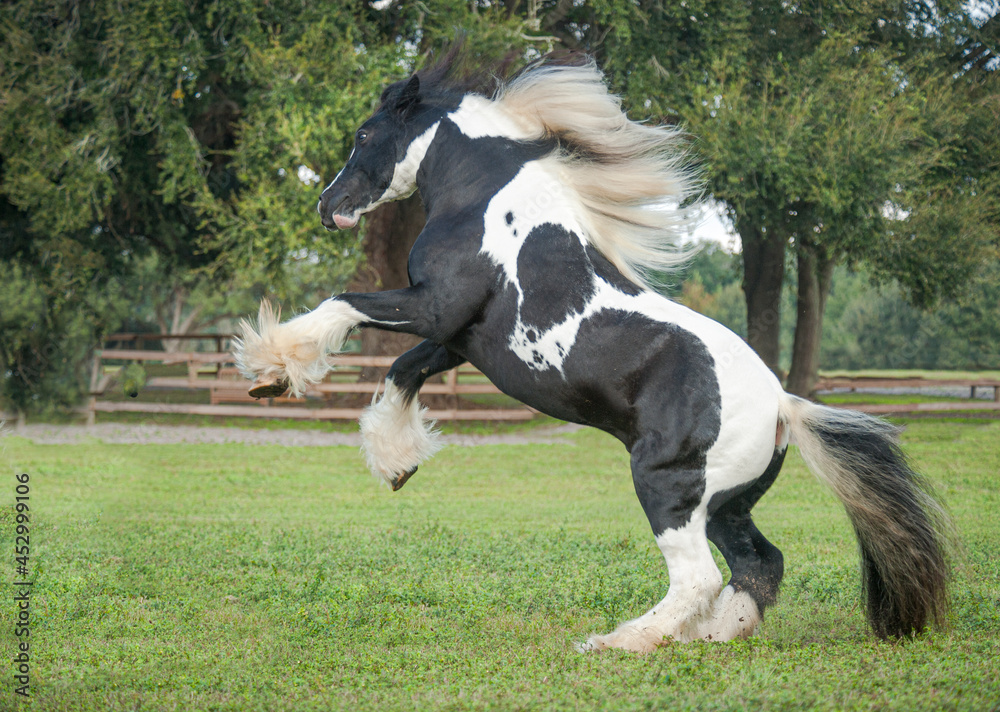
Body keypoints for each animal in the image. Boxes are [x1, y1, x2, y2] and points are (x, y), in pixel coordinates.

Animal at [235, 54, 949, 652]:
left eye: (363, 134)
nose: (329, 206)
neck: (486, 203)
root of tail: (783, 404)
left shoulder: (436, 307)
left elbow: (341, 307)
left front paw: (269, 367)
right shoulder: (462, 336)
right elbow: (402, 369)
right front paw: (395, 462)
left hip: (668, 484)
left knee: (699, 578)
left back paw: (619, 642)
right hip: (724, 503)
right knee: (758, 563)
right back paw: (710, 637)